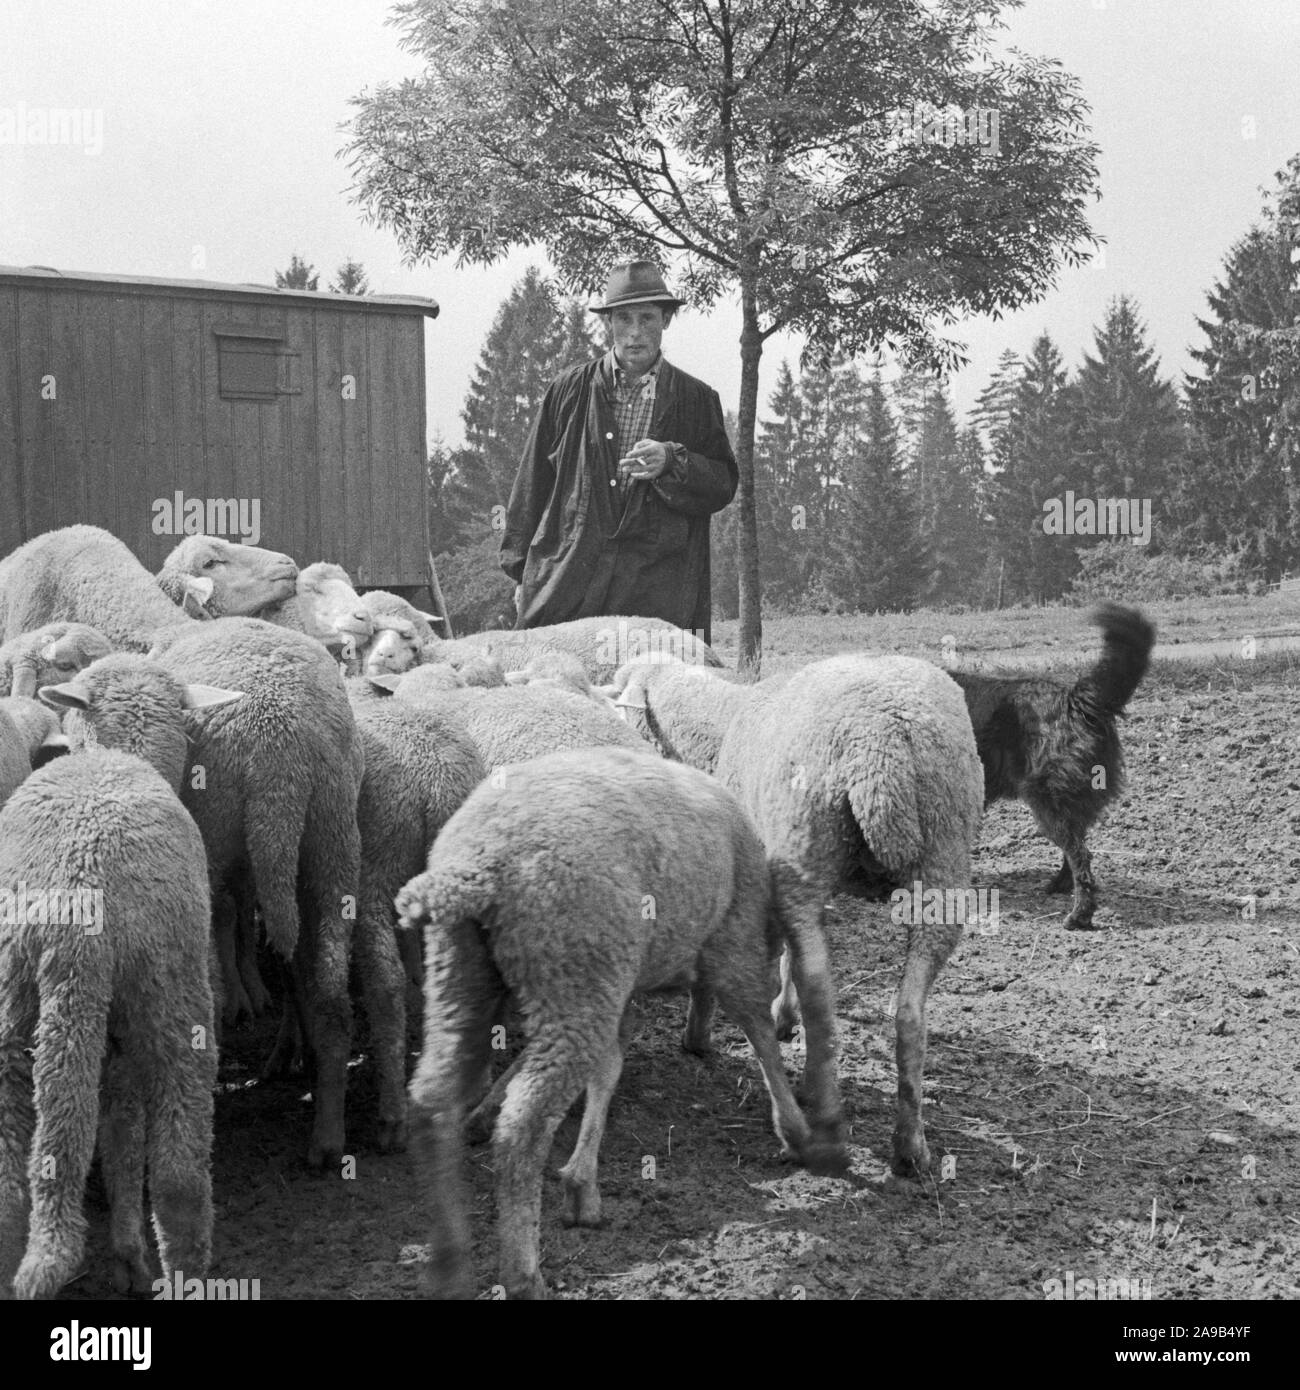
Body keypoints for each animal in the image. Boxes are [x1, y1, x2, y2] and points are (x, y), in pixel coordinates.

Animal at [0, 654, 241, 1299]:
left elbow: (118, 1136)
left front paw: (128, 1258)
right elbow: (127, 1141)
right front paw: (132, 1260)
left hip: (17, 1007)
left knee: (9, 1183)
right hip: (173, 1000)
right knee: (181, 1178)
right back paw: (183, 1274)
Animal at [149, 618, 365, 1168]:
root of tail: (279, 756)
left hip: (216, 835)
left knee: (210, 1001)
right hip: (331, 840)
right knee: (331, 996)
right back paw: (327, 1134)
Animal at [396, 745, 846, 1300]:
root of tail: (475, 866)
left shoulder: (617, 988)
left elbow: (608, 1069)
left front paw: (579, 1182)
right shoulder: (730, 945)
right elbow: (758, 1033)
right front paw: (796, 1131)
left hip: (469, 974)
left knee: (431, 1102)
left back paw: (449, 1264)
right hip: (574, 971)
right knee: (523, 1125)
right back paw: (523, 1274)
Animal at [606, 652, 985, 1175]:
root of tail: (884, 746)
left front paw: (700, 1034)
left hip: (806, 842)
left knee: (819, 992)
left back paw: (821, 1117)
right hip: (941, 860)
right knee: (908, 1009)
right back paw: (910, 1146)